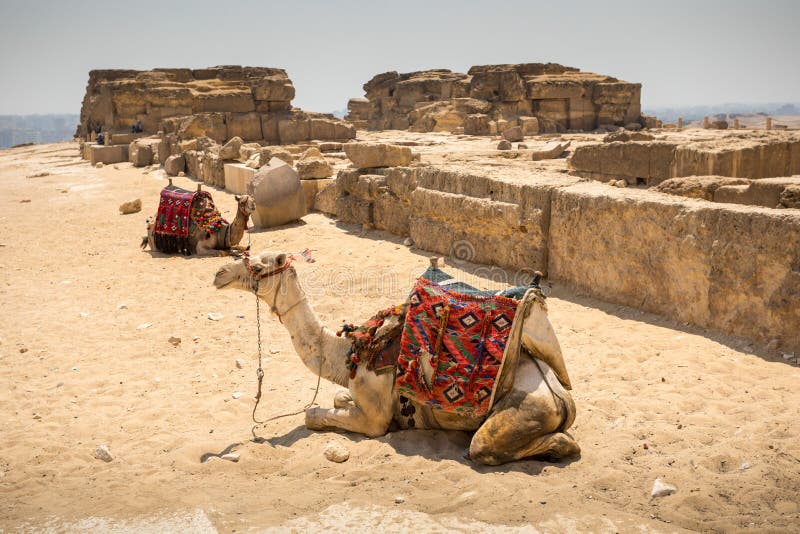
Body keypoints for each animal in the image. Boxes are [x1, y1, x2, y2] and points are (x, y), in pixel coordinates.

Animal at [214, 250, 580, 465]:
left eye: (256, 266)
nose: (219, 273)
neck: (348, 353)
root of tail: (563, 400)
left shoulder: (372, 418)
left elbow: (313, 415)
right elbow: (337, 397)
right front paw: (342, 400)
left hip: (521, 413)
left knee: (492, 448)